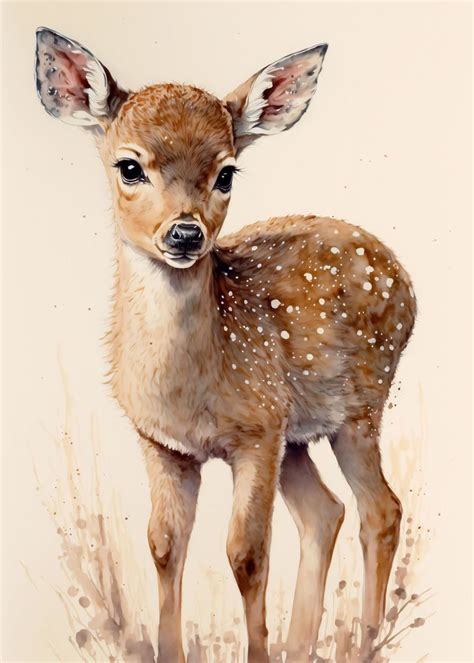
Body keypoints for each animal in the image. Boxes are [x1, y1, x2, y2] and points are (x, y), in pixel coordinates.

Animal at [35, 27, 417, 663]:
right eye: (129, 166)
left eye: (228, 174)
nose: (186, 233)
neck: (189, 390)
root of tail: (406, 280)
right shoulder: (161, 443)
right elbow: (164, 545)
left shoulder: (255, 434)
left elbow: (247, 555)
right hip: (298, 434)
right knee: (325, 513)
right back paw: (301, 645)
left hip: (359, 405)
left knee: (380, 508)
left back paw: (364, 640)